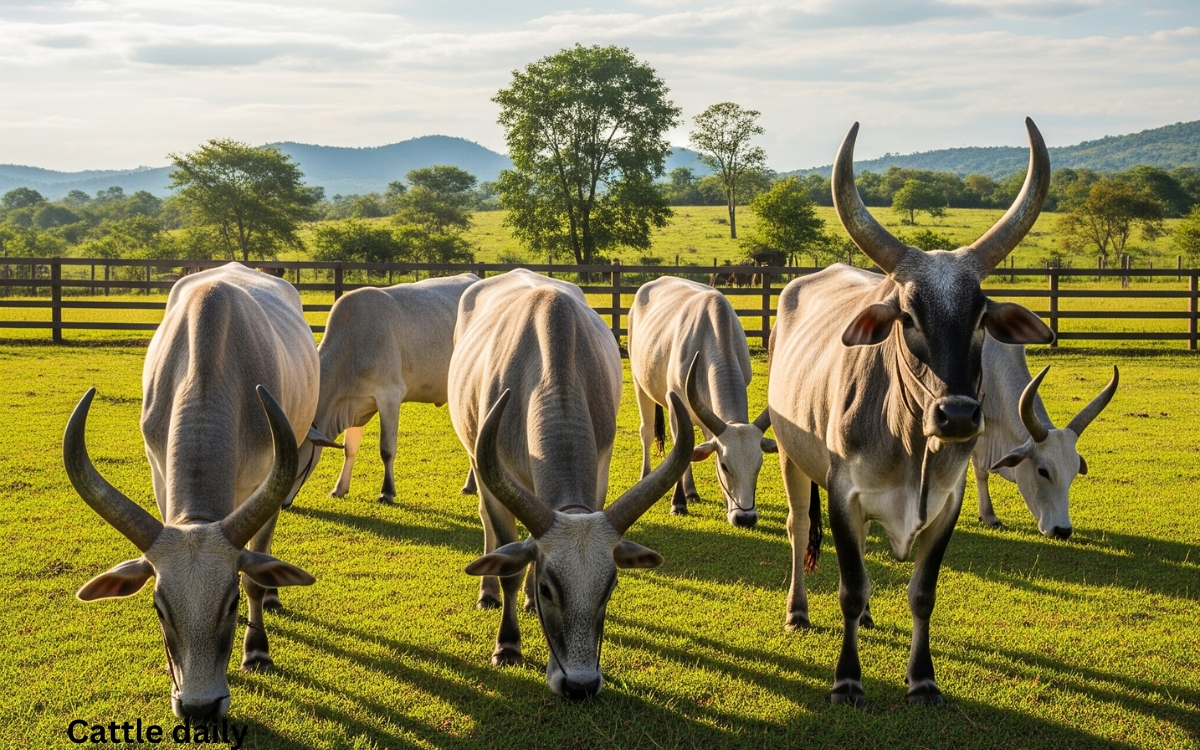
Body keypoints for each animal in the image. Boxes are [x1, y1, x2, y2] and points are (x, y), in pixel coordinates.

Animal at [64, 263, 319, 720]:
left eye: (231, 604)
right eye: (159, 606)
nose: (199, 707)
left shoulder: (263, 482)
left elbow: (253, 574)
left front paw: (256, 649)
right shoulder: (159, 472)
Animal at [287, 273, 480, 506]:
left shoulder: (389, 396)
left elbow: (386, 449)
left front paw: (386, 492)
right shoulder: (355, 403)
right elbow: (350, 448)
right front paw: (339, 488)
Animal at [448, 269, 694, 699]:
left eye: (610, 586)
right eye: (550, 588)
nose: (580, 685)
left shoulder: (600, 470)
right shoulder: (495, 478)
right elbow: (511, 565)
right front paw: (507, 645)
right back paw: (488, 593)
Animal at [628, 275, 775, 526]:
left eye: (759, 465)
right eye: (725, 466)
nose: (745, 518)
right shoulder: (675, 405)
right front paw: (678, 504)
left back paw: (691, 492)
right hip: (640, 383)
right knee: (646, 431)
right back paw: (647, 477)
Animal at [767, 119, 1055, 706]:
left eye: (980, 318)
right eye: (908, 316)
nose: (958, 416)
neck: (909, 441)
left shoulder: (947, 503)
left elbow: (923, 592)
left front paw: (922, 678)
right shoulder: (843, 493)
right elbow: (849, 587)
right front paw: (847, 679)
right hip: (790, 457)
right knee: (797, 527)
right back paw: (797, 611)